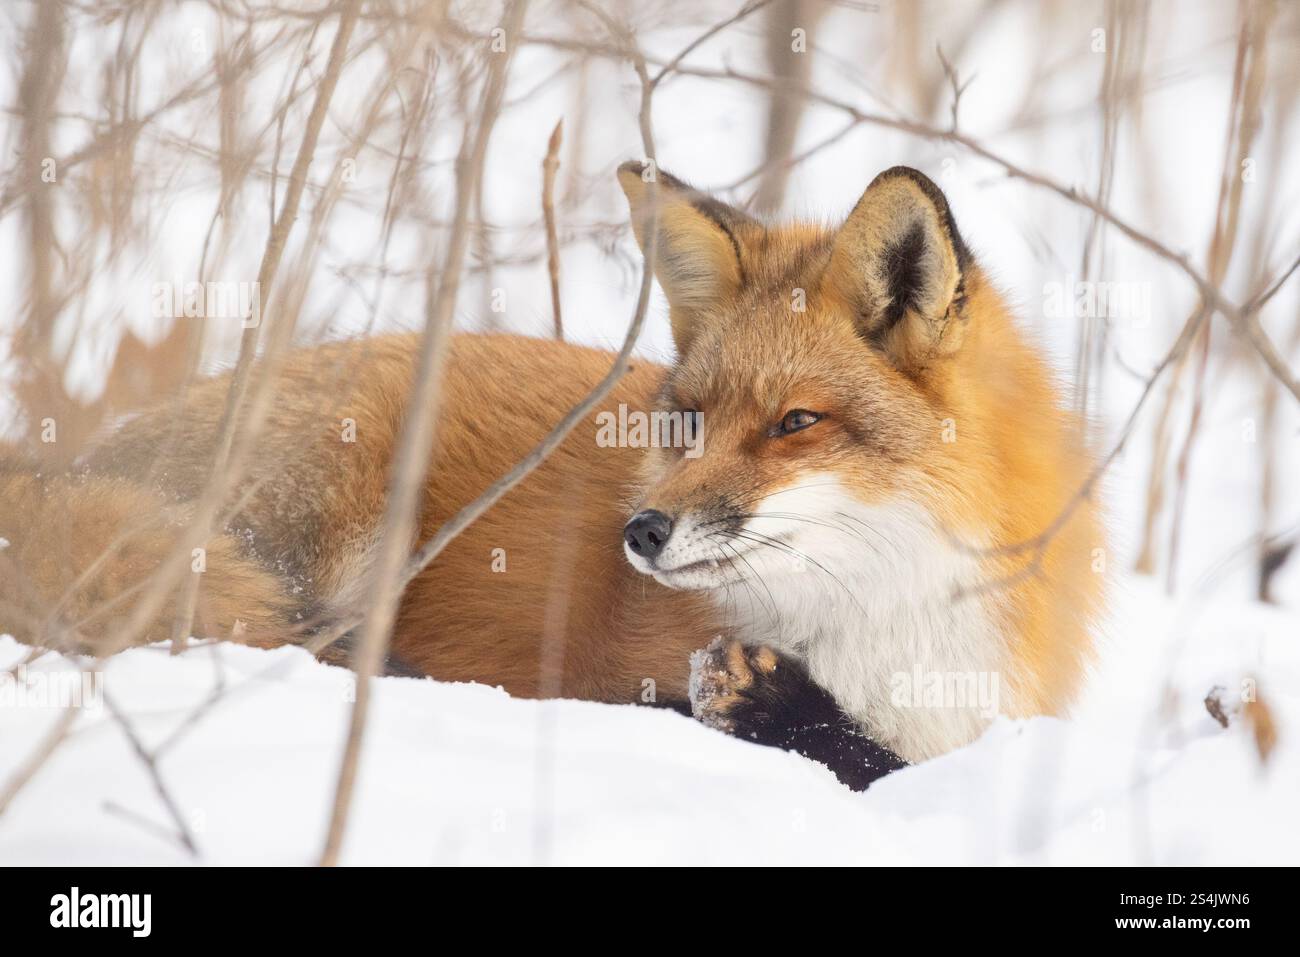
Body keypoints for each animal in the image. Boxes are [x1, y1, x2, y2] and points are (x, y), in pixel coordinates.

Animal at [0, 163, 1101, 788]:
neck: (887, 621)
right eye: (689, 420)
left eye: (796, 423)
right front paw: (780, 711)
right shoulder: (623, 674)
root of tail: (73, 461)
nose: (643, 532)